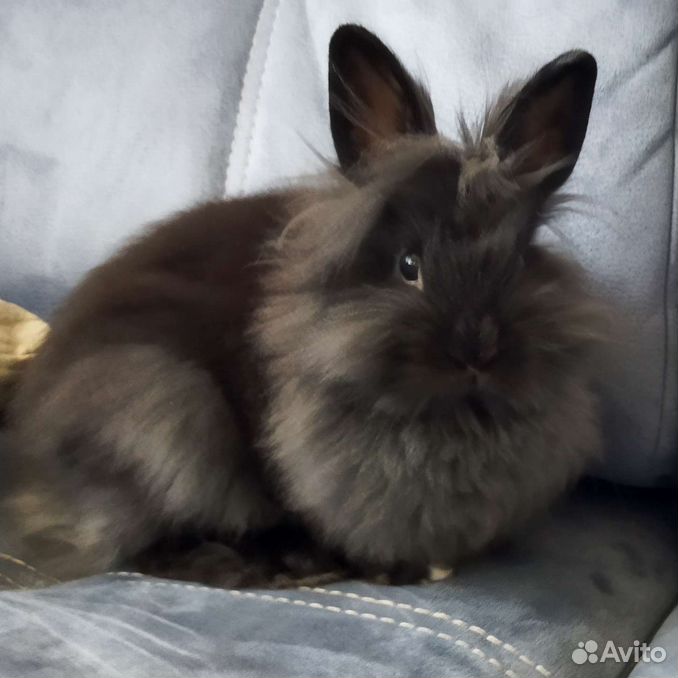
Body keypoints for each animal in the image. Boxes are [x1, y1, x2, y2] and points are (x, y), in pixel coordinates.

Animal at [2, 24, 607, 587]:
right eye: (409, 265)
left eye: (519, 261)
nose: (476, 350)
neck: (449, 423)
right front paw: (391, 568)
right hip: (164, 409)